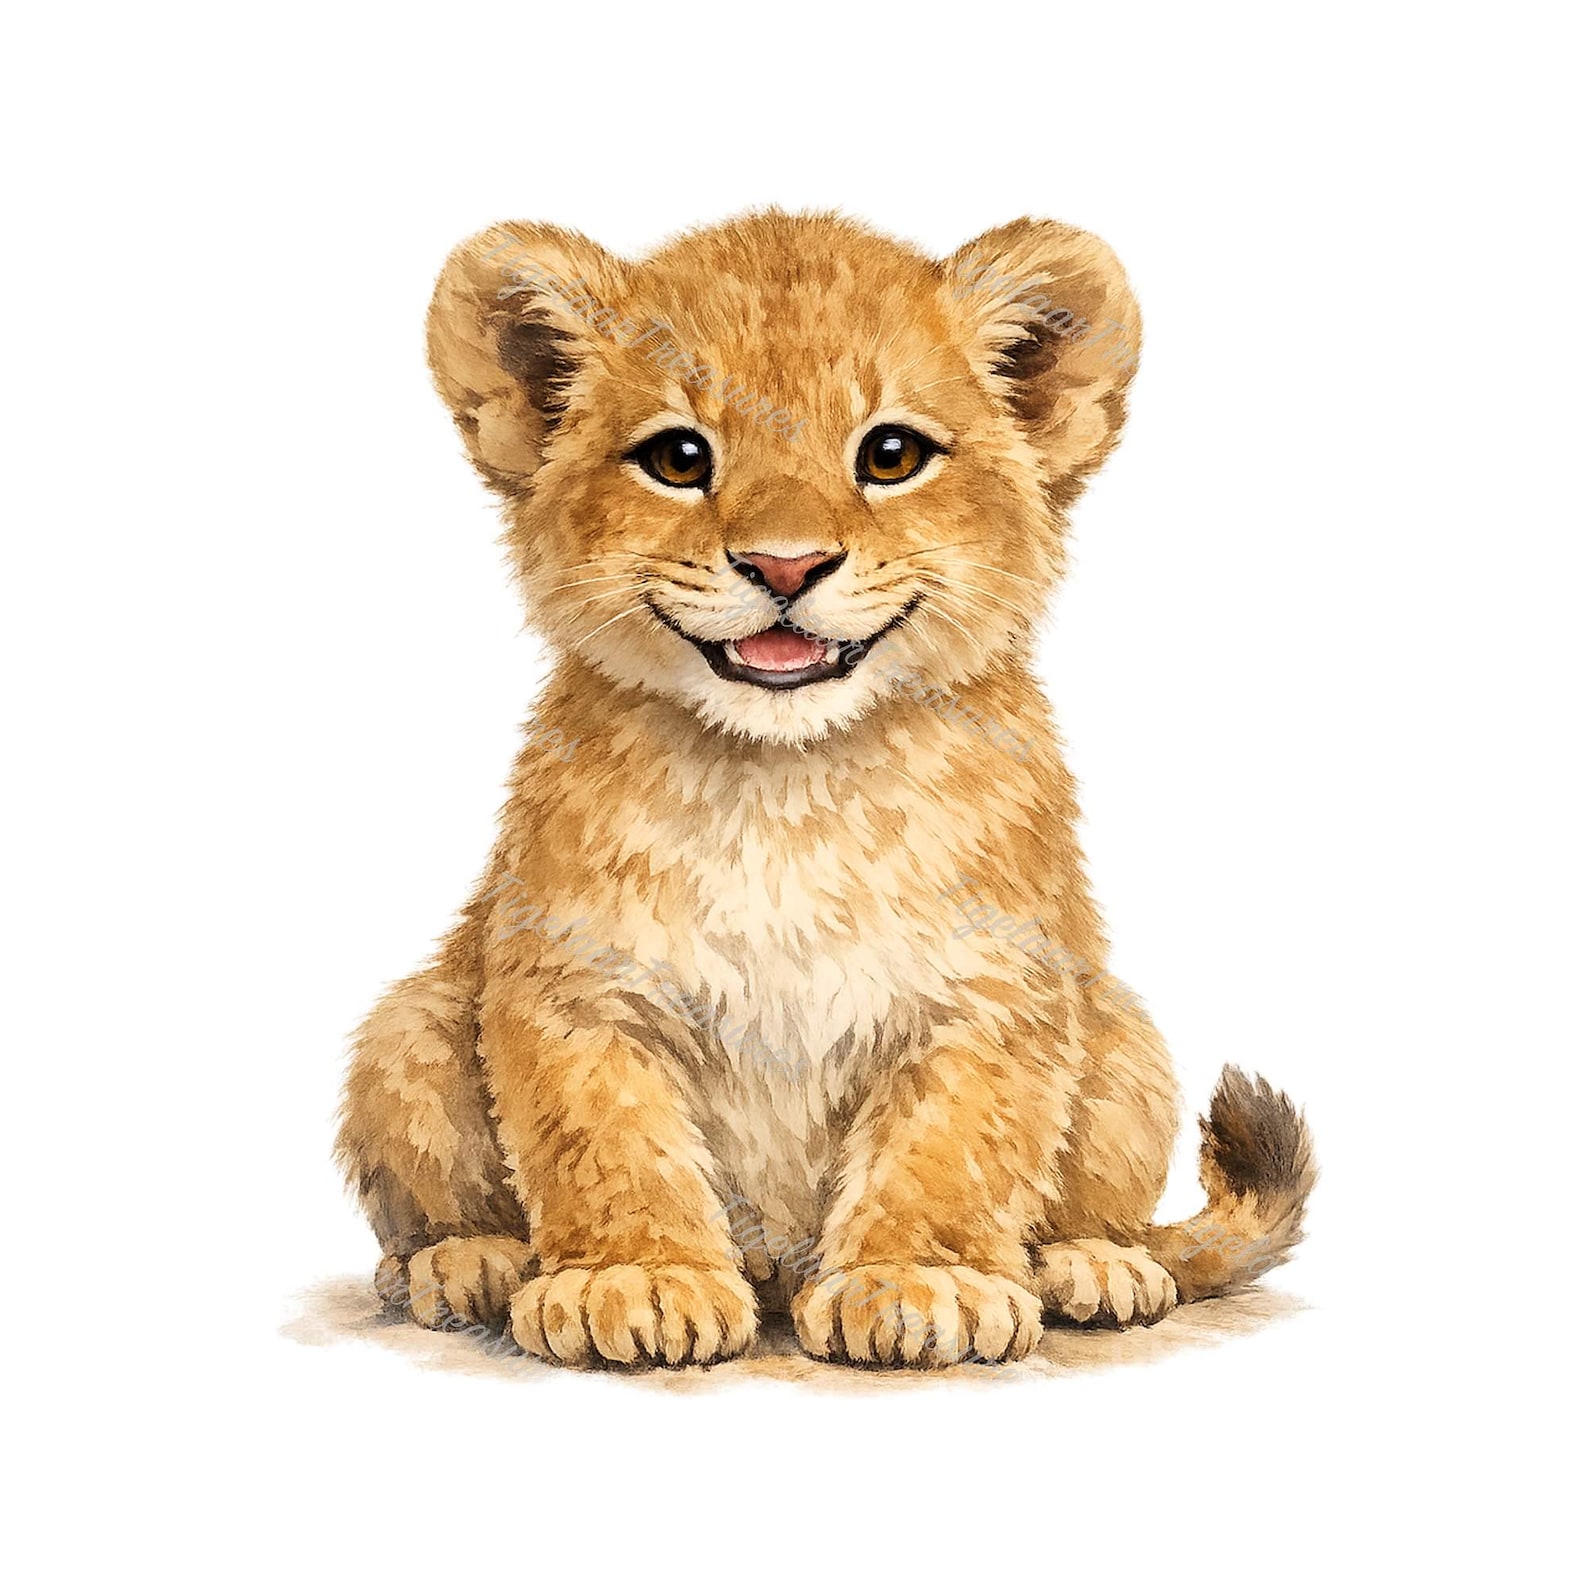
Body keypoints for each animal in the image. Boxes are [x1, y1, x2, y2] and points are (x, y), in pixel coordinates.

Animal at [335, 210, 1315, 1370]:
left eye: (890, 455)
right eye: (679, 458)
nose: (785, 566)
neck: (787, 787)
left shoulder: (989, 991)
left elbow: (952, 1145)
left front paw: (920, 1280)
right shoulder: (577, 984)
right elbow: (606, 1139)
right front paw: (637, 1277)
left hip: (1124, 1039)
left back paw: (1094, 1264)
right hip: (409, 1028)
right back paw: (470, 1261)